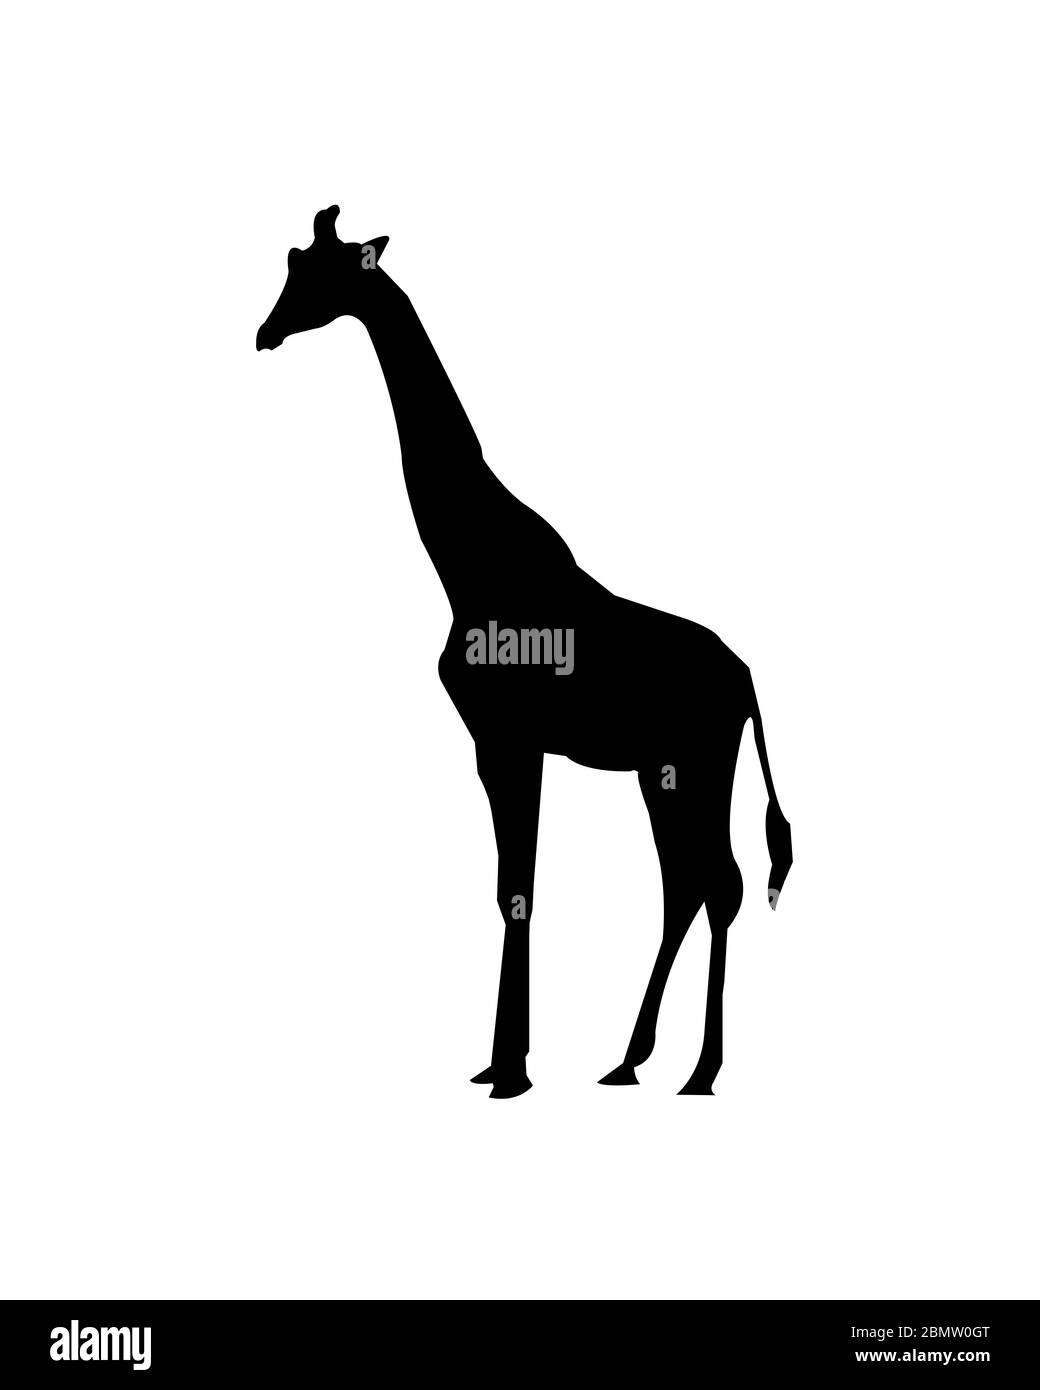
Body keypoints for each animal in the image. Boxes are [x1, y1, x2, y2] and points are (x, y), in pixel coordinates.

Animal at [256, 206, 793, 1098]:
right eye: (291, 265)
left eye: (317, 273)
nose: (264, 332)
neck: (468, 561)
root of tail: (748, 681)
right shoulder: (495, 744)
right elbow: (513, 884)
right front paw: (498, 1061)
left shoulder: (511, 740)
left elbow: (519, 889)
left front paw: (511, 1070)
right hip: (661, 770)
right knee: (686, 885)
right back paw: (628, 1060)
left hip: (701, 761)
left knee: (721, 883)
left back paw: (700, 1071)